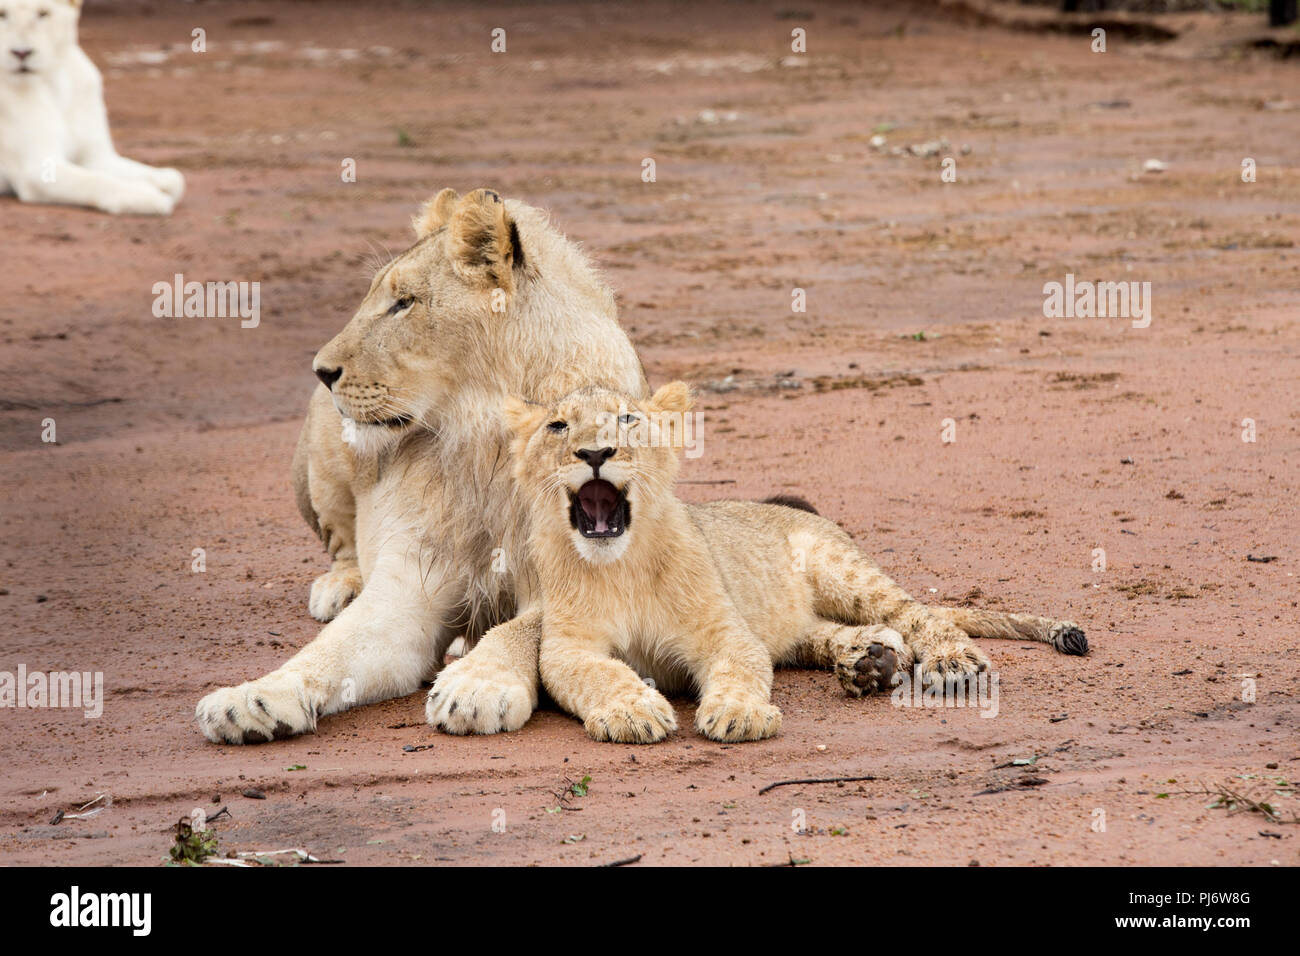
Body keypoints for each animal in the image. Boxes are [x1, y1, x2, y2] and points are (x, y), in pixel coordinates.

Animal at [0, 0, 183, 215]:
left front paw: (160, 179)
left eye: (43, 13)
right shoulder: (37, 169)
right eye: (2, 14)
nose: (21, 52)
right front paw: (146, 195)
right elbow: (94, 181)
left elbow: (174, 179)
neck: (55, 83)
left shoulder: (96, 157)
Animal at [195, 187, 648, 743]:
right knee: (342, 546)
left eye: (404, 302)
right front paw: (253, 697)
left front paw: (478, 684)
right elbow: (330, 651)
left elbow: (524, 626)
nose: (321, 371)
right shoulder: (410, 582)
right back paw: (341, 588)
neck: (481, 441)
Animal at [500, 383, 1088, 744]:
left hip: (842, 569)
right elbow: (598, 671)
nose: (595, 453)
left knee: (919, 614)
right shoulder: (567, 646)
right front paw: (633, 709)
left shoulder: (725, 631)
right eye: (557, 426)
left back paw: (949, 662)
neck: (621, 565)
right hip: (805, 624)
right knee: (840, 633)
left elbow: (740, 667)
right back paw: (870, 659)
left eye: (628, 419)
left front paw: (739, 714)